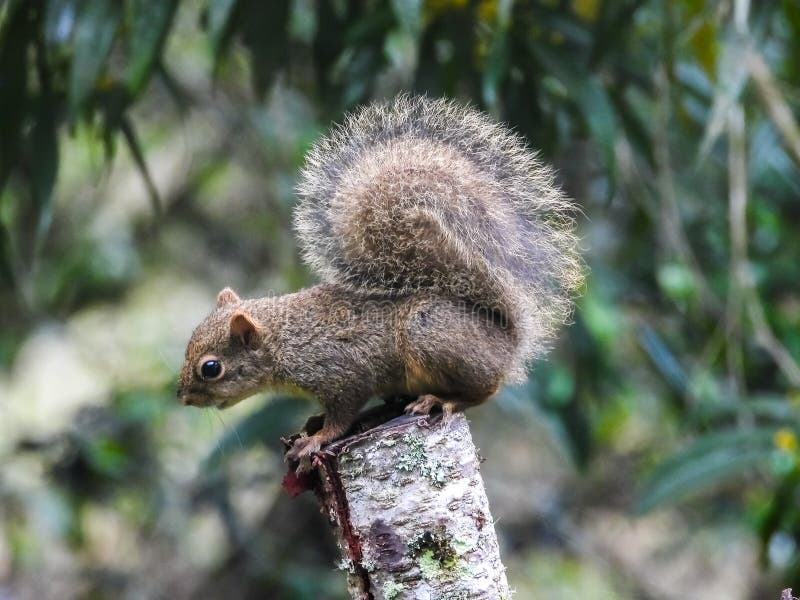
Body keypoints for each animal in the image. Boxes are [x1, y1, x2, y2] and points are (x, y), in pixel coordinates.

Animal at [178, 94, 583, 471]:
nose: (183, 397)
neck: (283, 340)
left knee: (485, 390)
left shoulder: (343, 372)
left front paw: (317, 438)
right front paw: (313, 423)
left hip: (429, 331)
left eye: (211, 368)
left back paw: (443, 399)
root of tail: (507, 339)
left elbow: (342, 415)